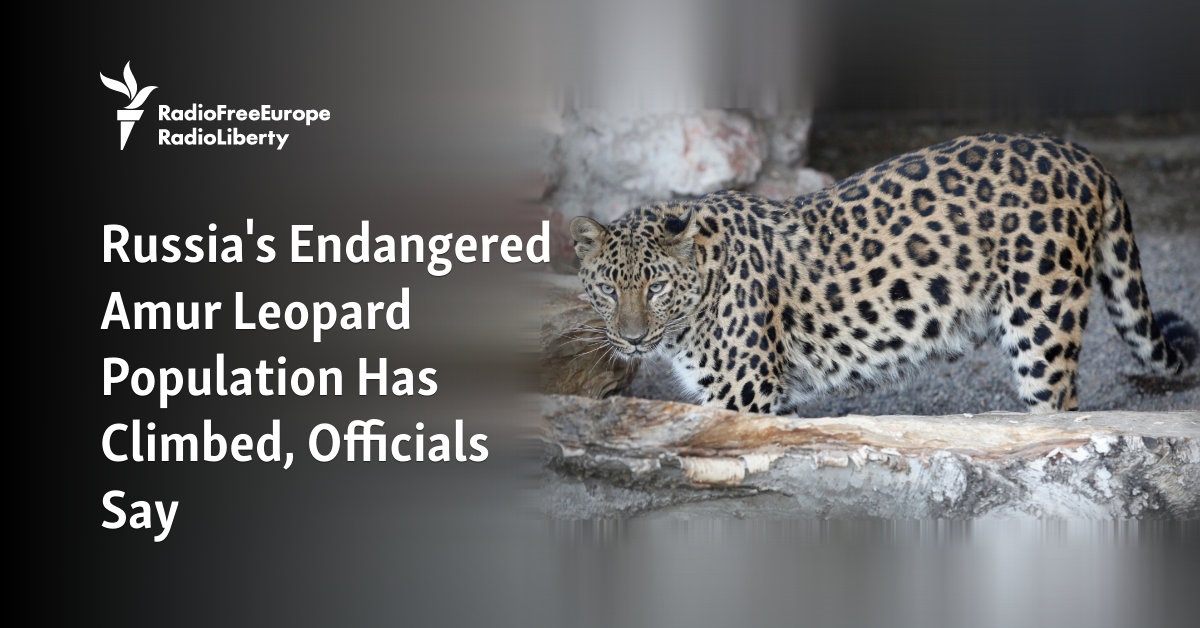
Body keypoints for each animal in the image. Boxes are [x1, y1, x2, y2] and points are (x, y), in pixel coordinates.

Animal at [570, 133, 1198, 414]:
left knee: (1060, 409)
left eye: (655, 287)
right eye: (607, 288)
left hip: (1042, 325)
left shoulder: (742, 397)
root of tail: (1083, 155)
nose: (631, 340)